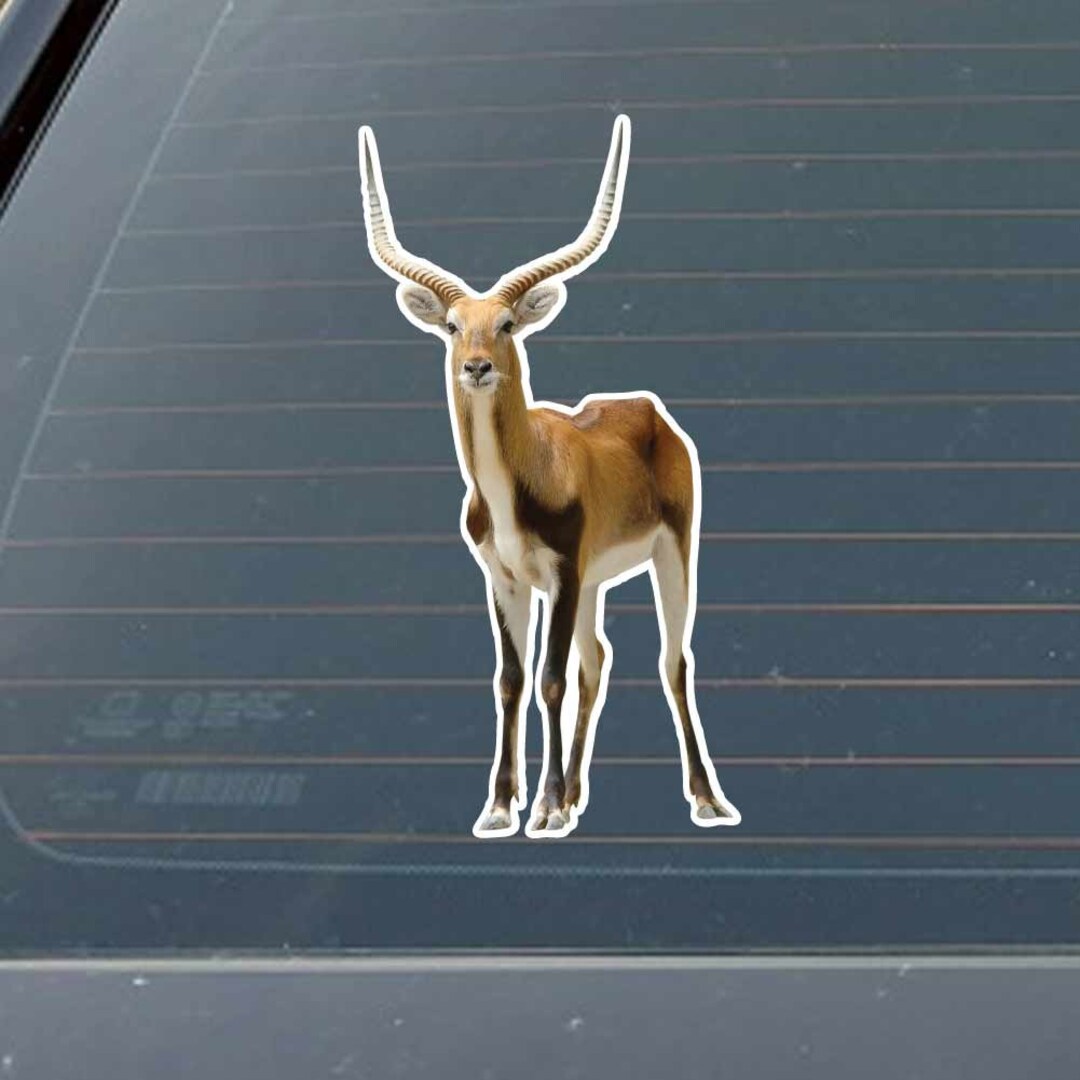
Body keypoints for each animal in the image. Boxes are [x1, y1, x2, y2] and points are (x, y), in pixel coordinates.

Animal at [357, 114, 741, 839]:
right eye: (454, 326)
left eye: (507, 324)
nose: (477, 366)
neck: (521, 482)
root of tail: (648, 409)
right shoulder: (505, 577)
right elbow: (511, 679)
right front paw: (502, 807)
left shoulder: (560, 572)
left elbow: (550, 680)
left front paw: (543, 806)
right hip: (594, 583)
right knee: (598, 661)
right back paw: (578, 795)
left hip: (672, 552)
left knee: (672, 660)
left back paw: (706, 800)